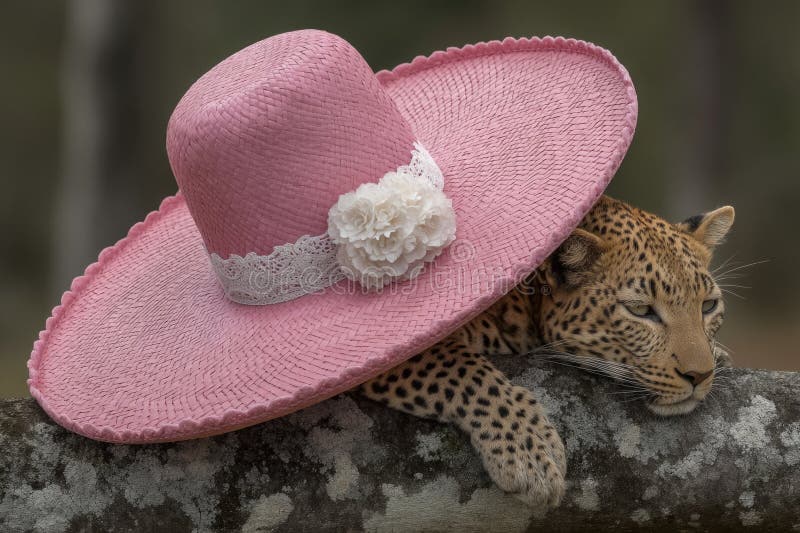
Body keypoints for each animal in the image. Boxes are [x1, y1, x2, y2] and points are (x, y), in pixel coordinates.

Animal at [358, 195, 735, 509]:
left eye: (709, 306)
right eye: (641, 311)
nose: (699, 375)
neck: (526, 305)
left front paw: (721, 354)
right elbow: (457, 367)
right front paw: (528, 453)